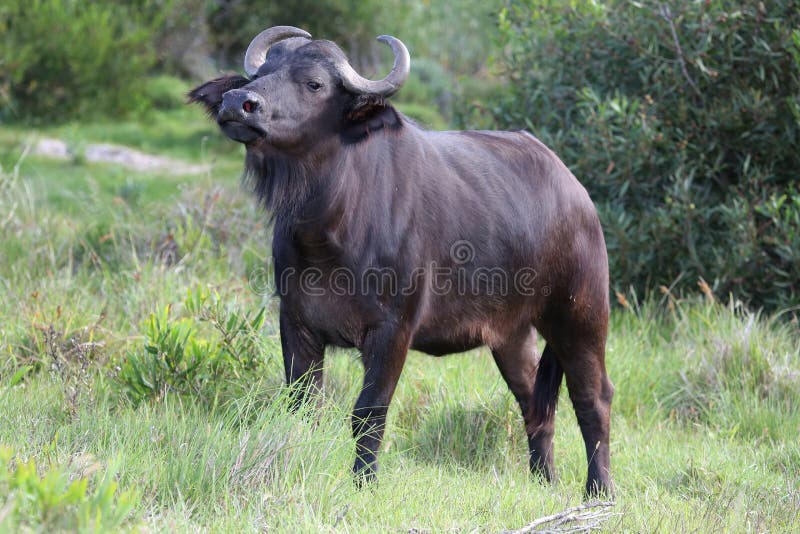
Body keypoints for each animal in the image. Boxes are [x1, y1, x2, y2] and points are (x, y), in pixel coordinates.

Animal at [190, 26, 614, 496]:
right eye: (261, 73)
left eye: (314, 83)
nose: (238, 103)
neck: (329, 227)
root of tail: (577, 194)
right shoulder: (296, 324)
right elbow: (302, 406)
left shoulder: (392, 331)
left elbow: (368, 412)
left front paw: (364, 481)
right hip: (512, 335)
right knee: (533, 404)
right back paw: (544, 480)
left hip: (580, 318)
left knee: (593, 399)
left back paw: (599, 491)